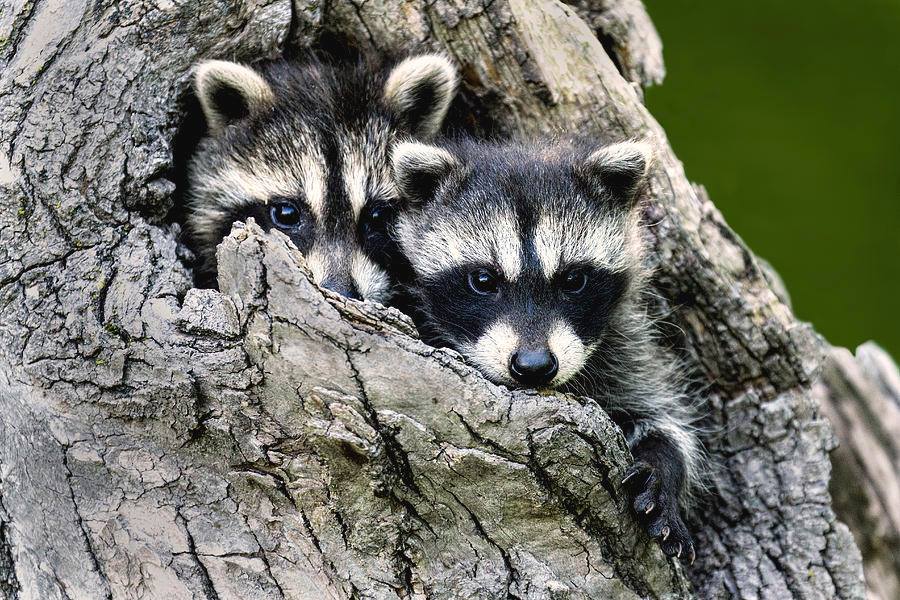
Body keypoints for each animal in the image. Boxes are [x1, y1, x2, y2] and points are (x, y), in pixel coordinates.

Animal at [391, 138, 706, 562]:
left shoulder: (625, 342)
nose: (534, 365)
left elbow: (656, 411)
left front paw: (663, 465)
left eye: (573, 279)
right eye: (483, 280)